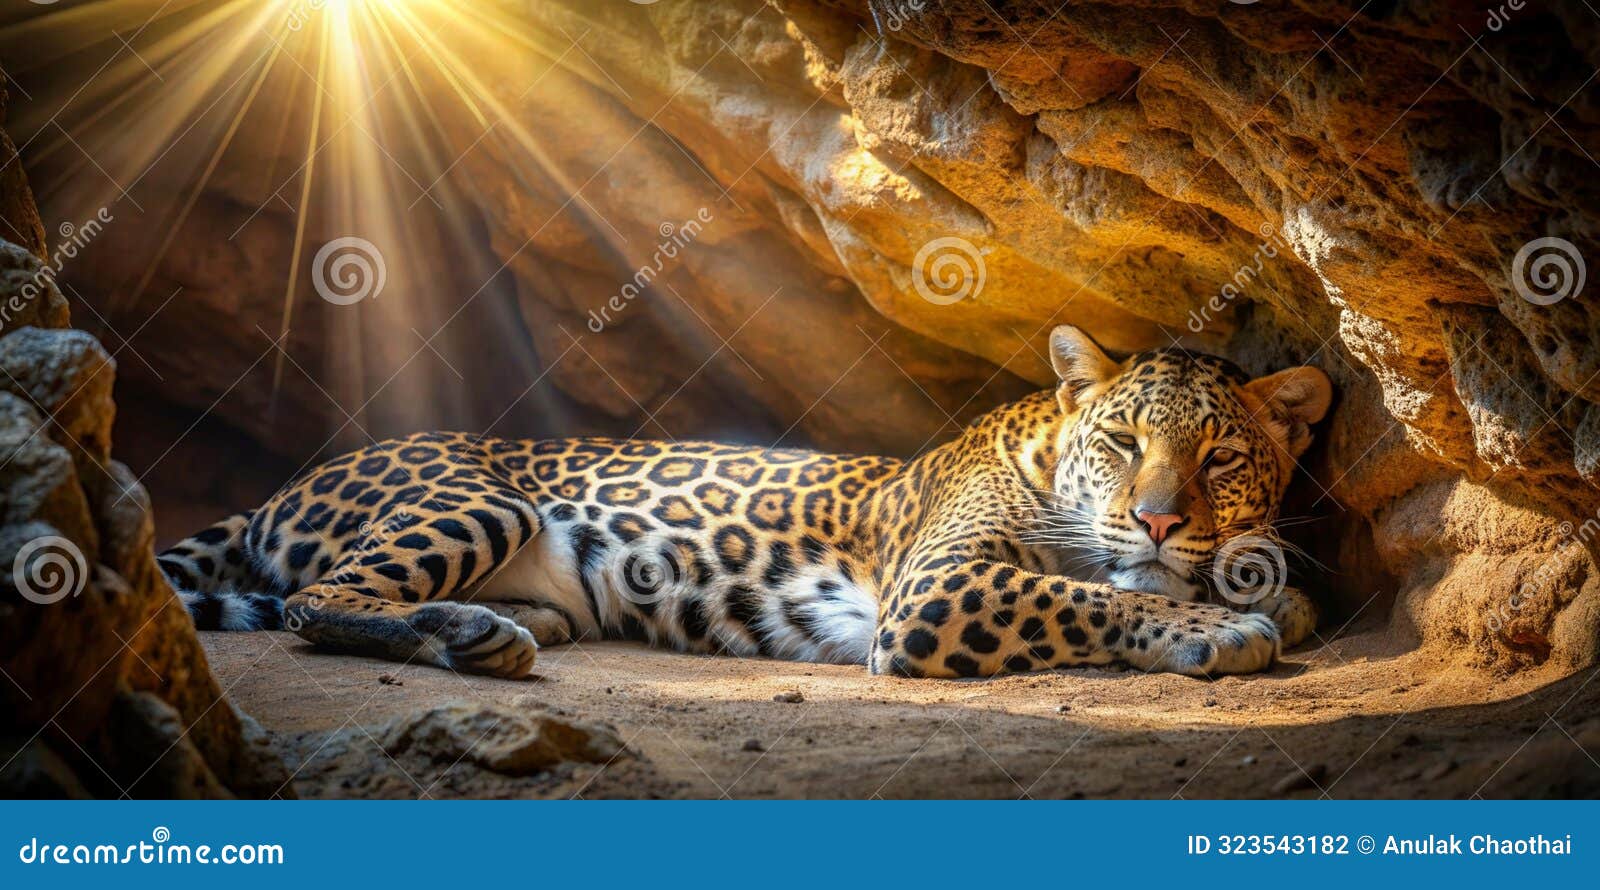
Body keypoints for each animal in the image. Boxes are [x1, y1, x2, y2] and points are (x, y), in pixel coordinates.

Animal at [159, 325, 1331, 681]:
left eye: (1222, 456)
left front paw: (1254, 589)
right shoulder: (934, 590)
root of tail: (289, 481)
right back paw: (471, 634)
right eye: (1123, 443)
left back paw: (498, 625)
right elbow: (1090, 596)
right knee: (319, 599)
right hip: (478, 501)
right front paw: (1217, 627)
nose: (1157, 518)